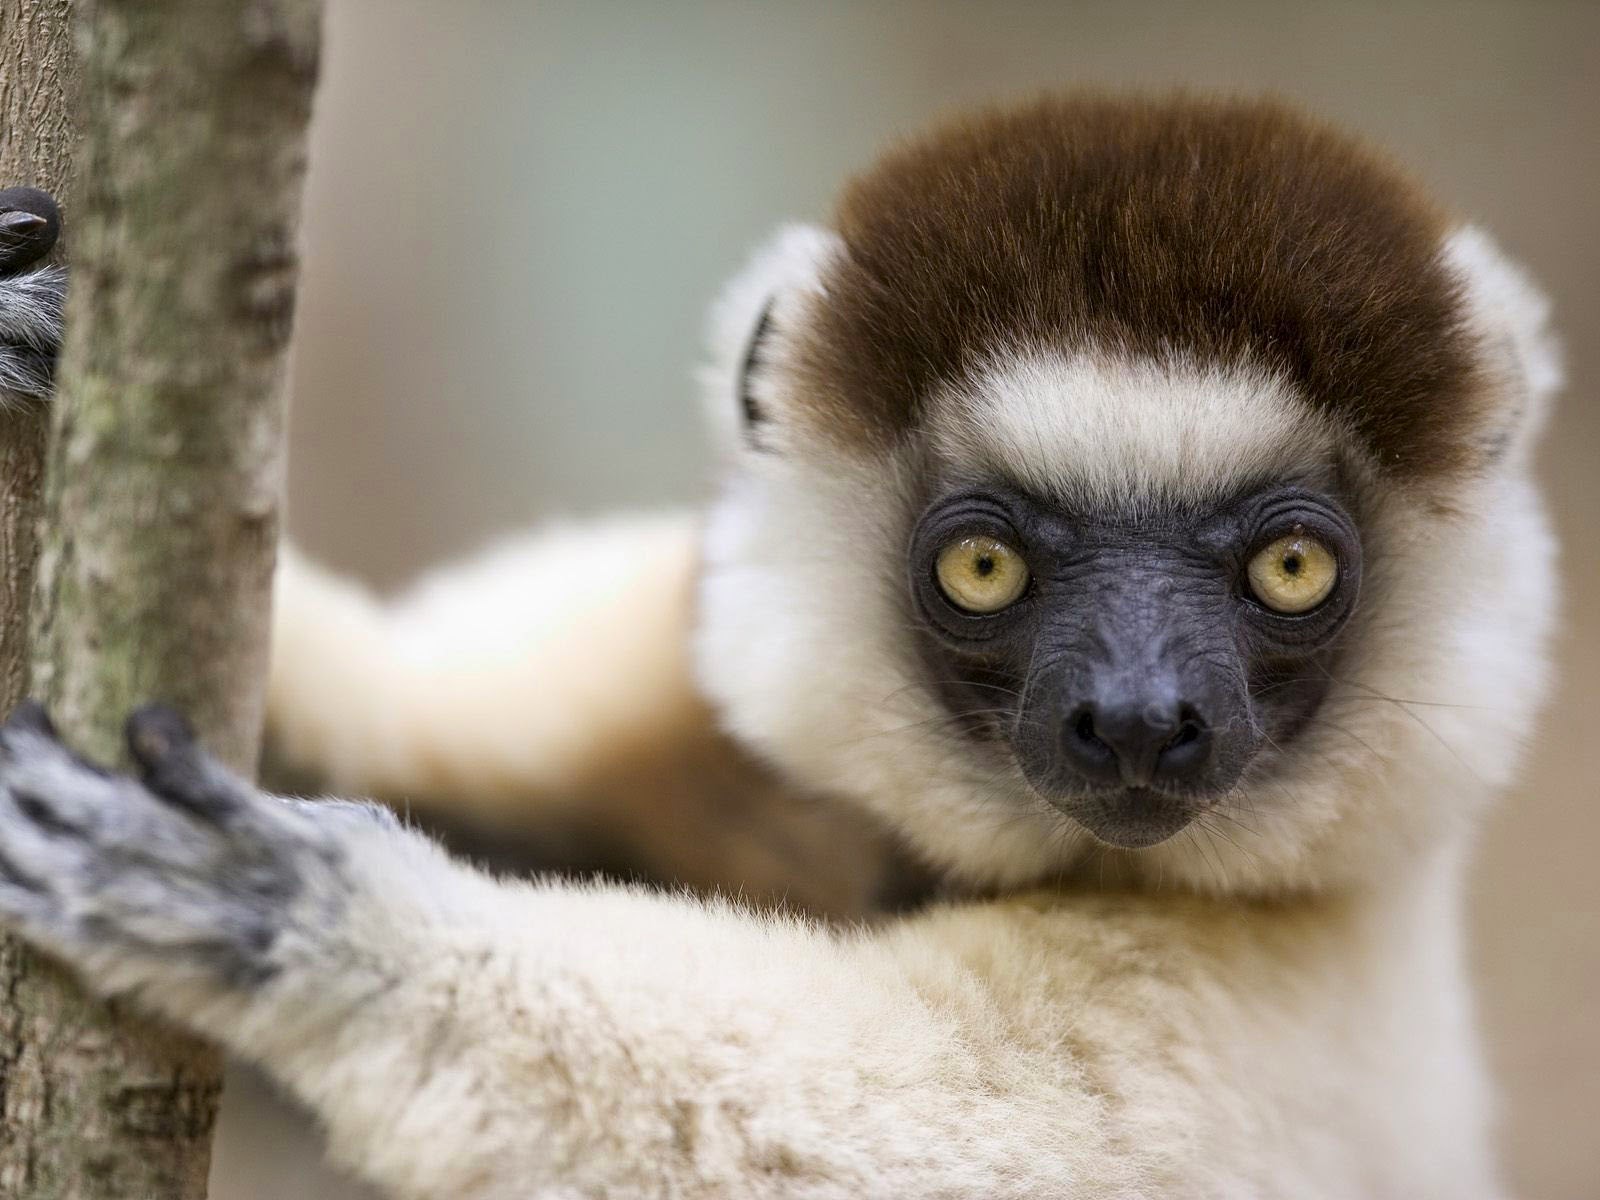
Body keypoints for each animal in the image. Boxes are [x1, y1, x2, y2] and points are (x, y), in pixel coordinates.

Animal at [0, 92, 1561, 1198]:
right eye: (984, 566)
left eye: (1290, 570)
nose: (1135, 718)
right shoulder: (650, 662)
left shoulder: (1307, 994)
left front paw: (326, 929)